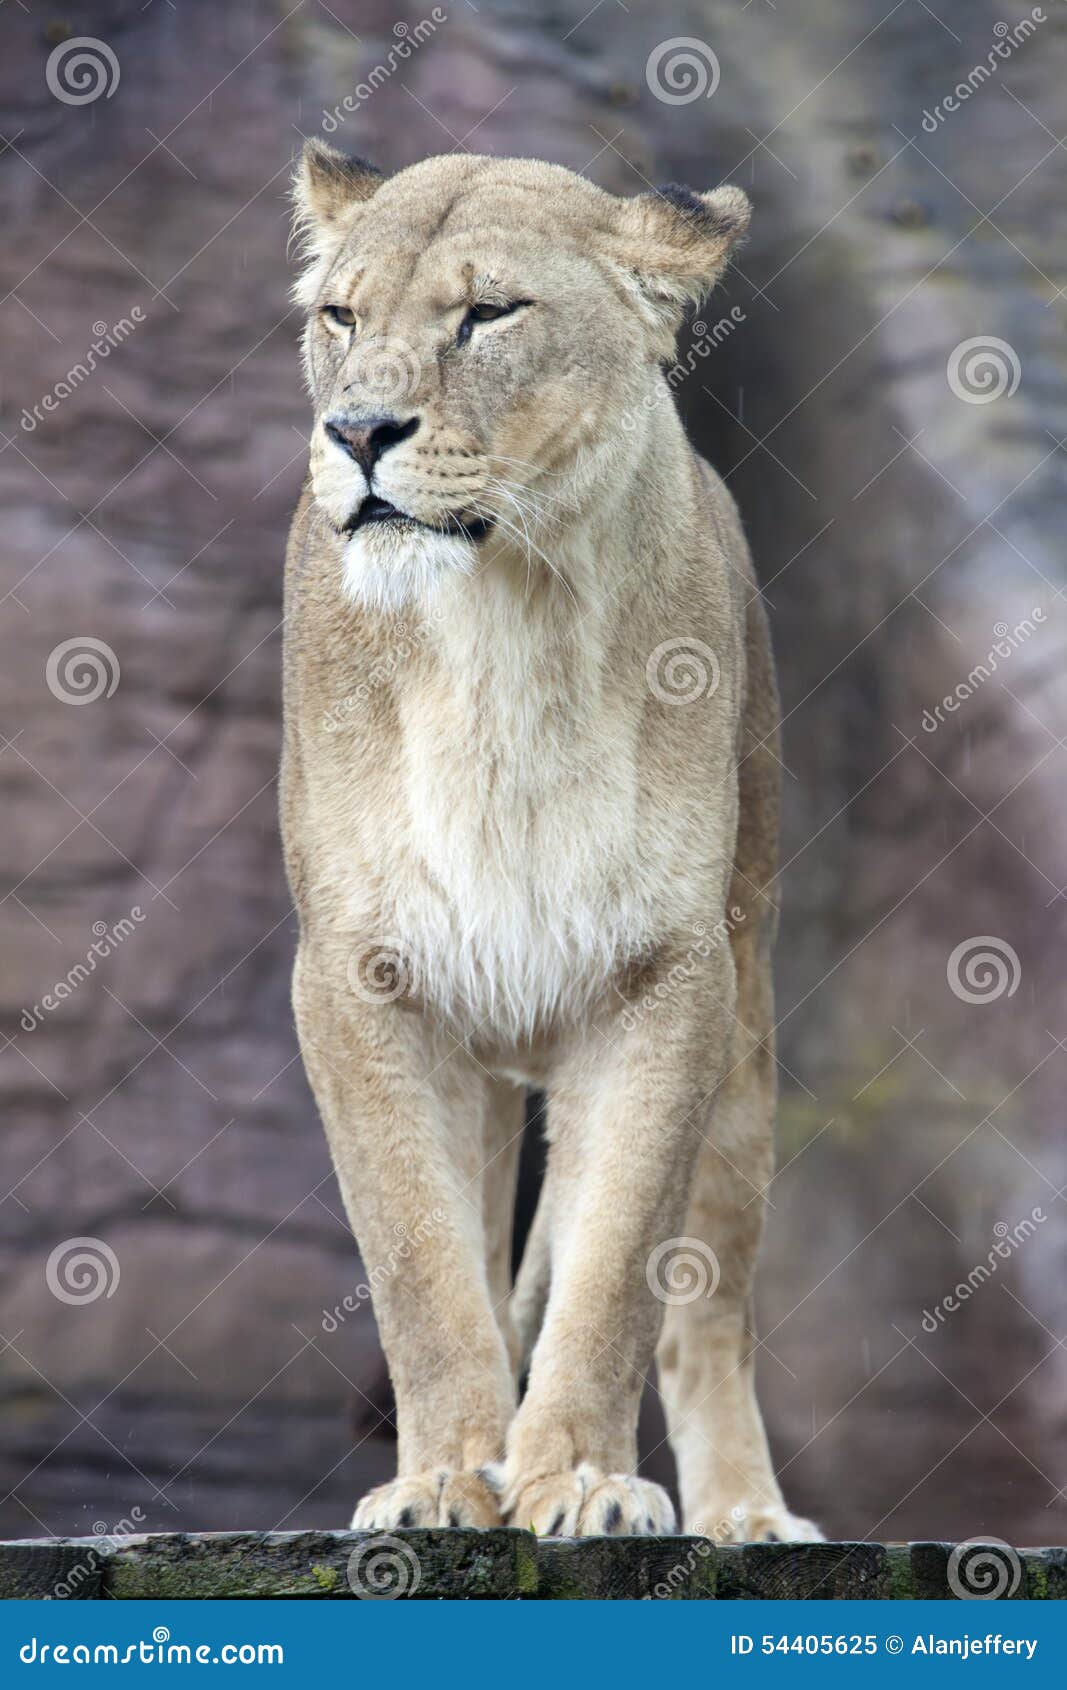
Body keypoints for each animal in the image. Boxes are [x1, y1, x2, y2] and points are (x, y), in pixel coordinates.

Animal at [280, 141, 822, 1542]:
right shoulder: (357, 972)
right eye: (340, 315)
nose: (356, 432)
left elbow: (619, 1262)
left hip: (749, 1020)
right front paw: (441, 1480)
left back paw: (744, 1516)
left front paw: (574, 1477)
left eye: (488, 314)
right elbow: (418, 1263)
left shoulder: (671, 974)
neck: (499, 624)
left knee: (706, 1307)